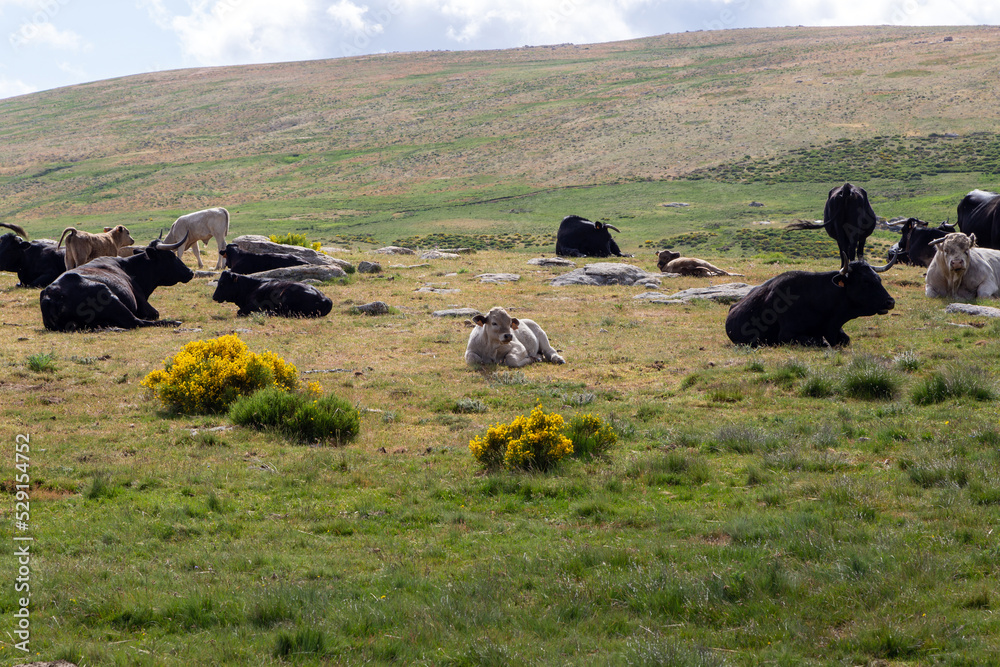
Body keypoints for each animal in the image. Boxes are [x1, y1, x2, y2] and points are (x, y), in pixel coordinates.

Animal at [39, 235, 193, 331]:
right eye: (171, 256)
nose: (190, 272)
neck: (131, 268)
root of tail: (50, 294)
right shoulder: (143, 303)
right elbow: (154, 314)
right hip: (111, 297)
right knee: (135, 322)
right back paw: (174, 322)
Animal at [725, 255, 896, 348]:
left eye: (878, 278)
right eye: (866, 281)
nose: (890, 301)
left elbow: (845, 339)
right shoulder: (787, 334)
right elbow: (821, 342)